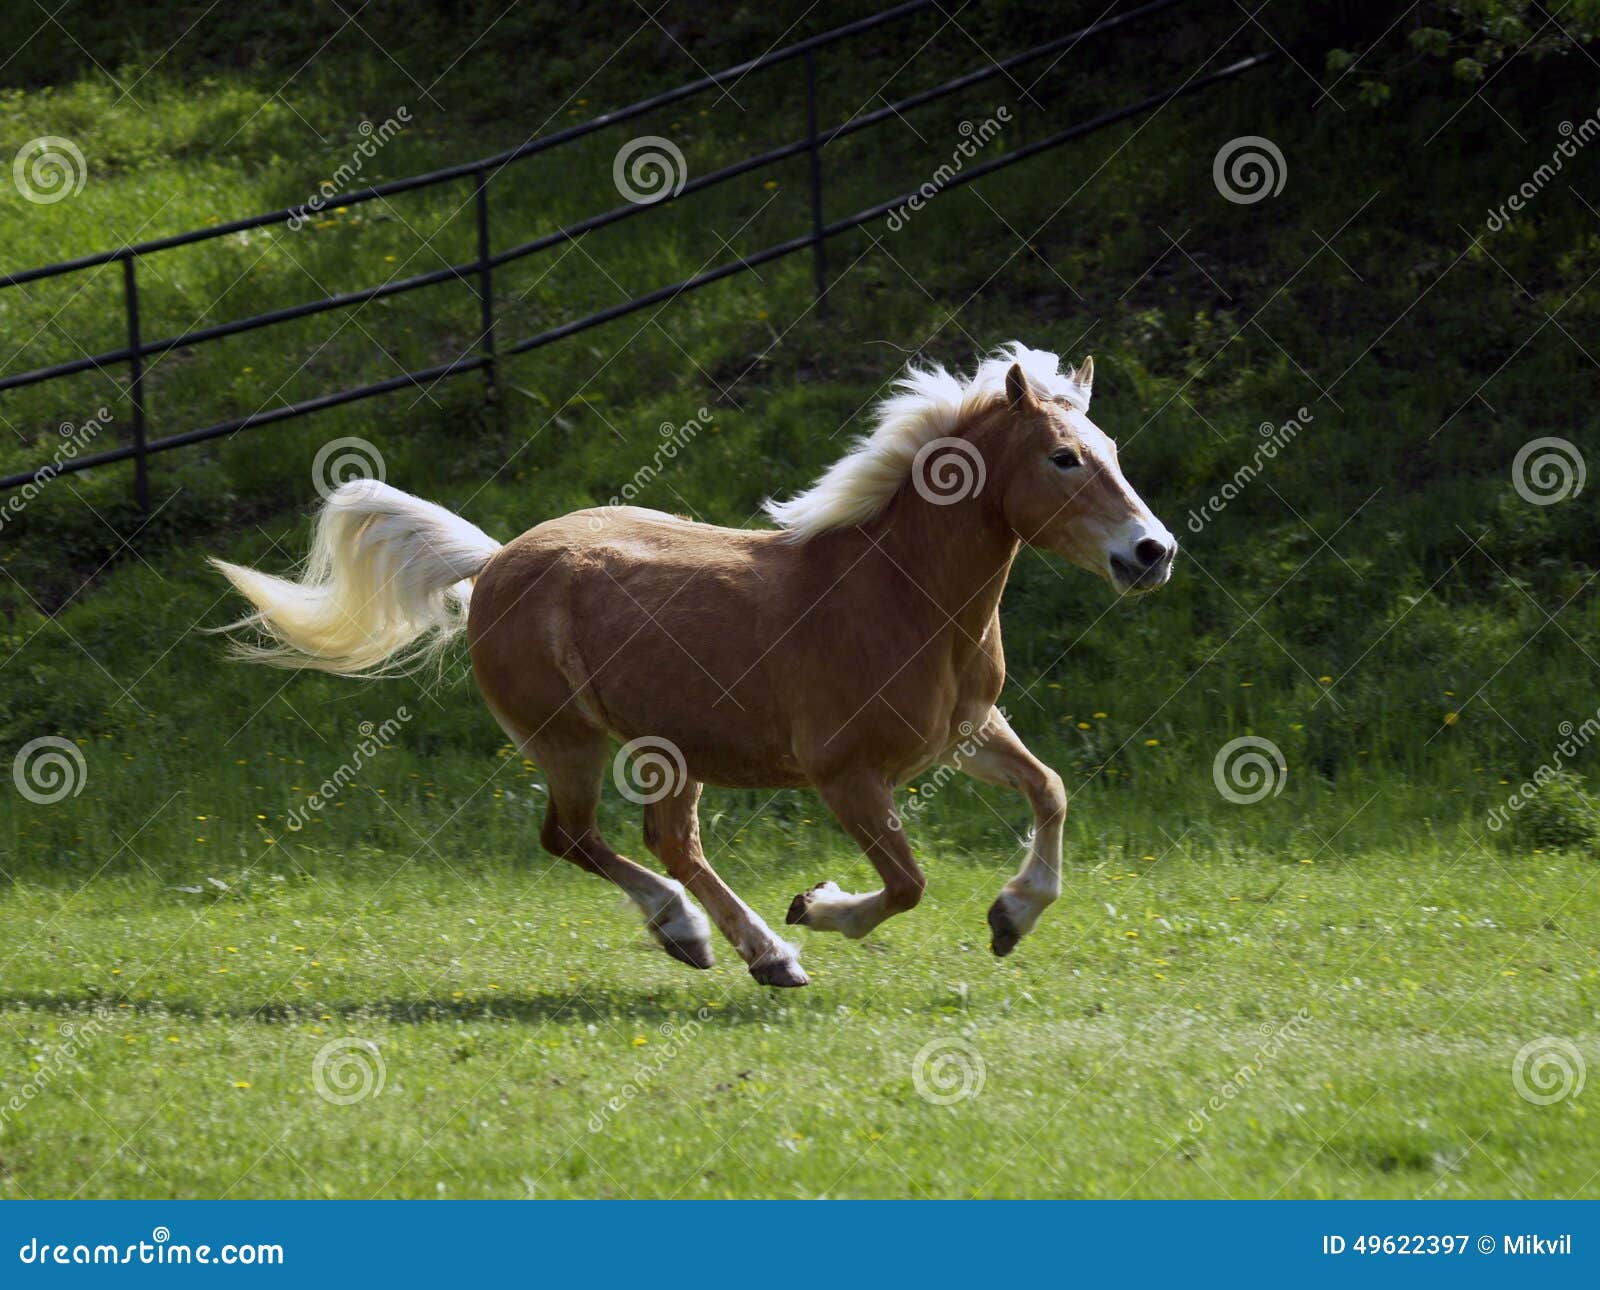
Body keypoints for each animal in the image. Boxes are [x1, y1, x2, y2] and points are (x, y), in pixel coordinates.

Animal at [210, 342, 1176, 988]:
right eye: (1063, 457)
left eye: (1115, 452)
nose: (1151, 552)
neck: (902, 598)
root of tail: (494, 562)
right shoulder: (846, 775)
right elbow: (907, 883)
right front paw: (819, 907)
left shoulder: (965, 736)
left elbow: (1050, 790)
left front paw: (1011, 917)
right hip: (573, 744)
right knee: (578, 839)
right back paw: (726, 941)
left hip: (669, 753)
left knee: (664, 840)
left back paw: (746, 949)